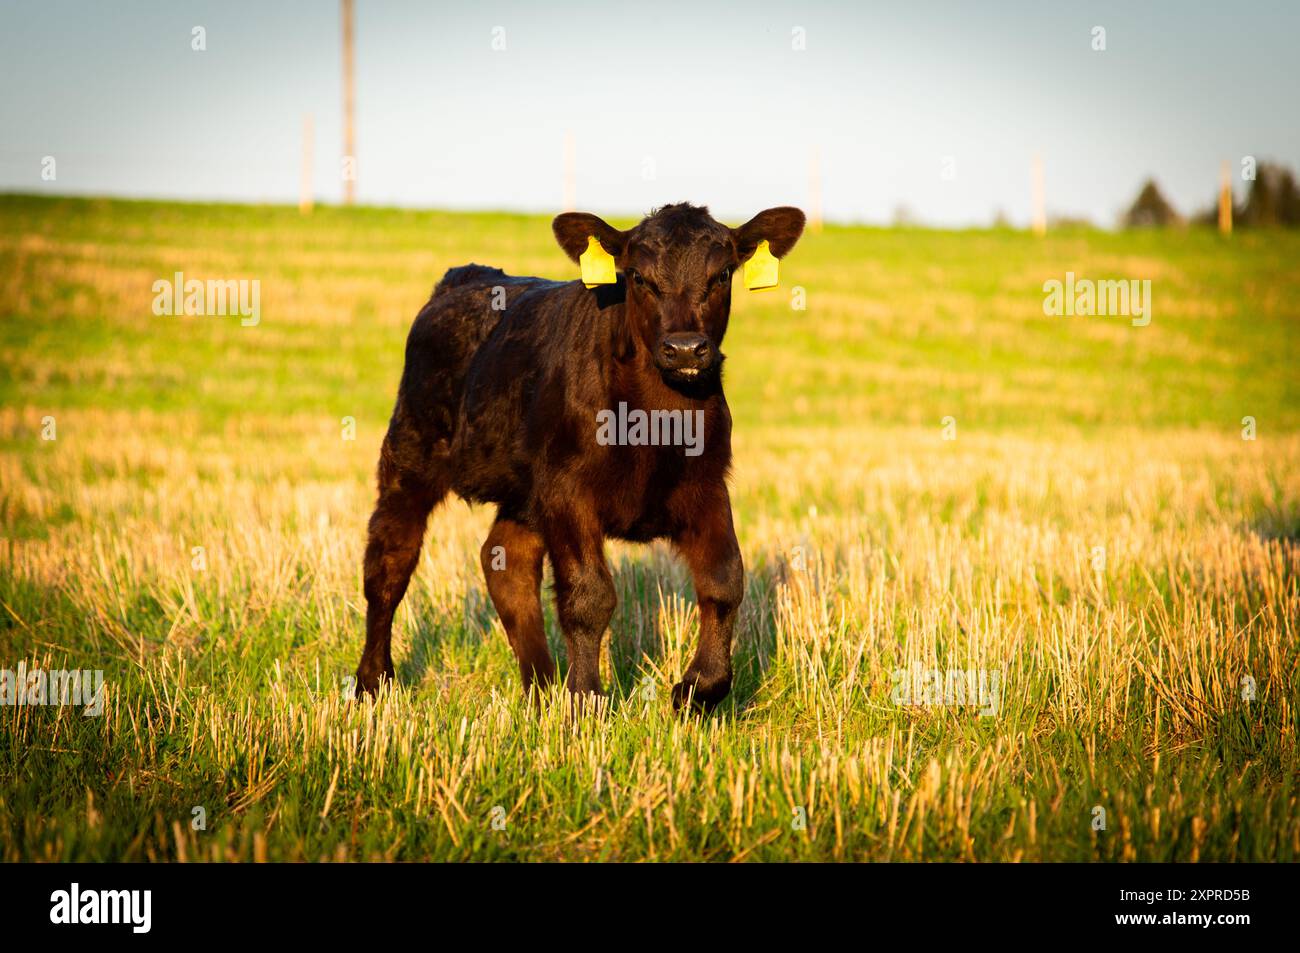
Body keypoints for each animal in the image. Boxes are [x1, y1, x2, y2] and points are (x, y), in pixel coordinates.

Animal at [355, 203, 805, 712]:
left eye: (723, 273)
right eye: (637, 276)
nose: (686, 348)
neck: (657, 421)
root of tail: (464, 276)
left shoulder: (706, 485)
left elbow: (725, 580)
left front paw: (697, 690)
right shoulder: (567, 490)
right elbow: (589, 595)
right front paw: (586, 701)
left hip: (524, 492)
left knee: (506, 560)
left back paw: (541, 688)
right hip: (410, 450)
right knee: (389, 560)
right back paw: (373, 683)